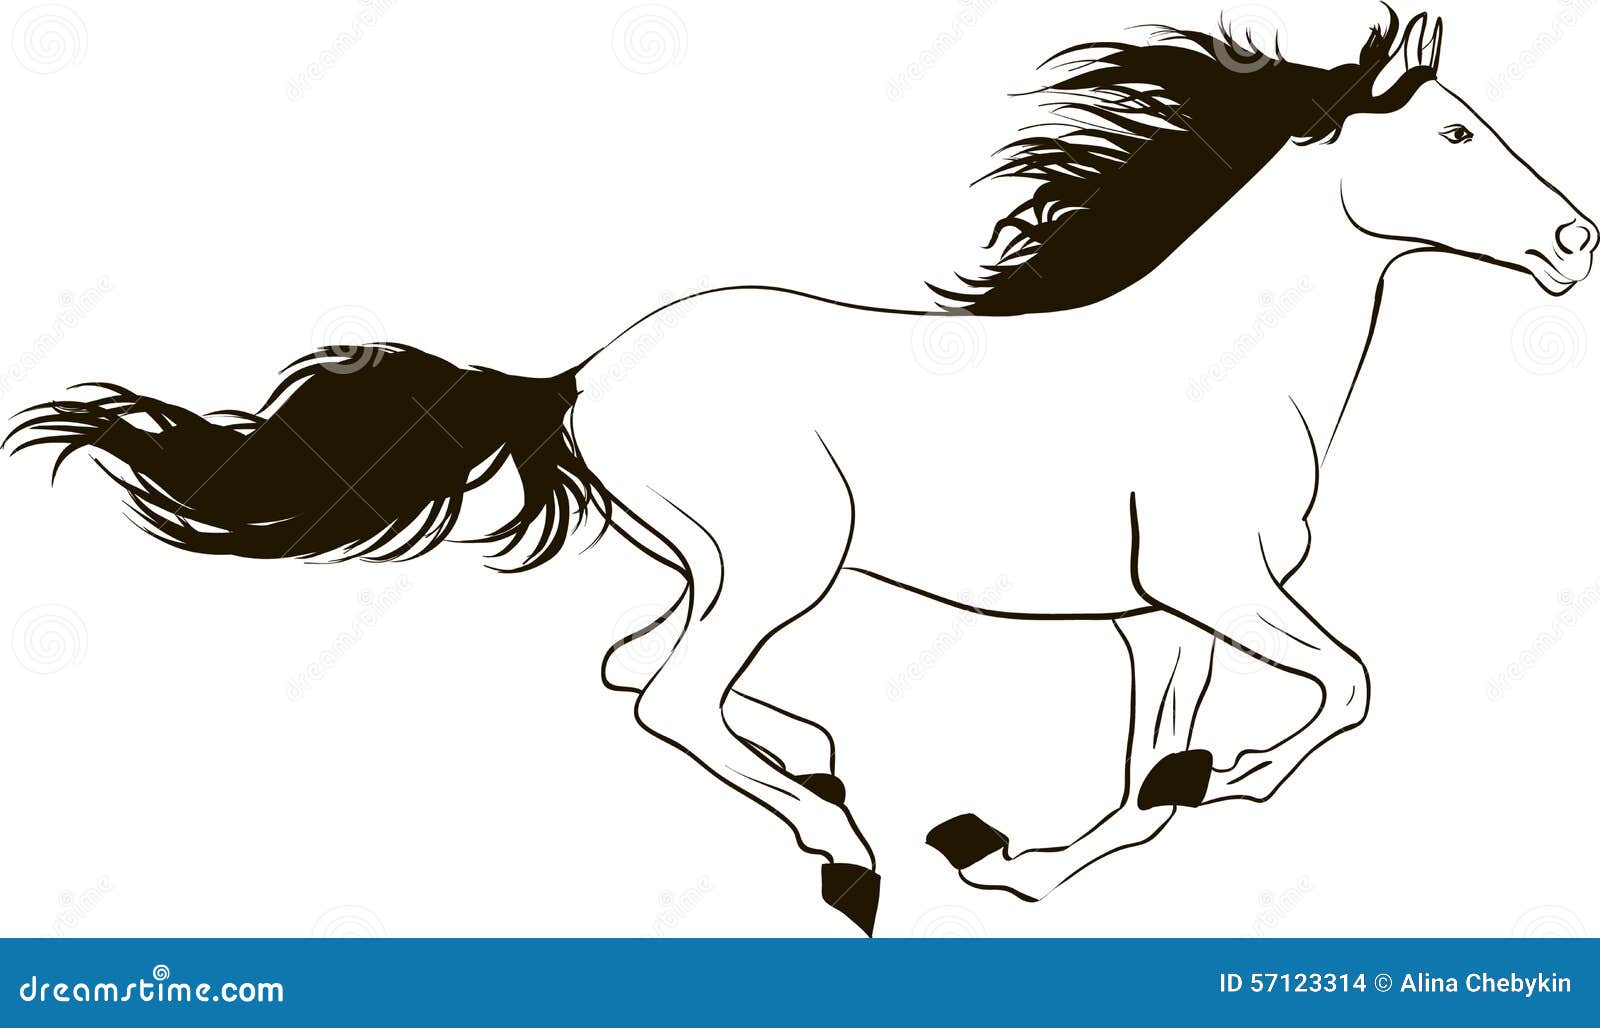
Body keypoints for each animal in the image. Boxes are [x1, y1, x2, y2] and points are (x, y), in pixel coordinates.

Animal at [9, 9, 1593, 936]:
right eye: (1456, 132)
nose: (1576, 241)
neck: (1223, 365)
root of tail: (580, 375)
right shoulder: (1214, 585)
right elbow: (1348, 688)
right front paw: (1230, 785)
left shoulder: (1160, 616)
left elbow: (1153, 774)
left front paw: (1019, 858)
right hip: (784, 562)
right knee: (668, 693)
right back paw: (846, 848)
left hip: (722, 567)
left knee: (640, 674)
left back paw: (834, 771)